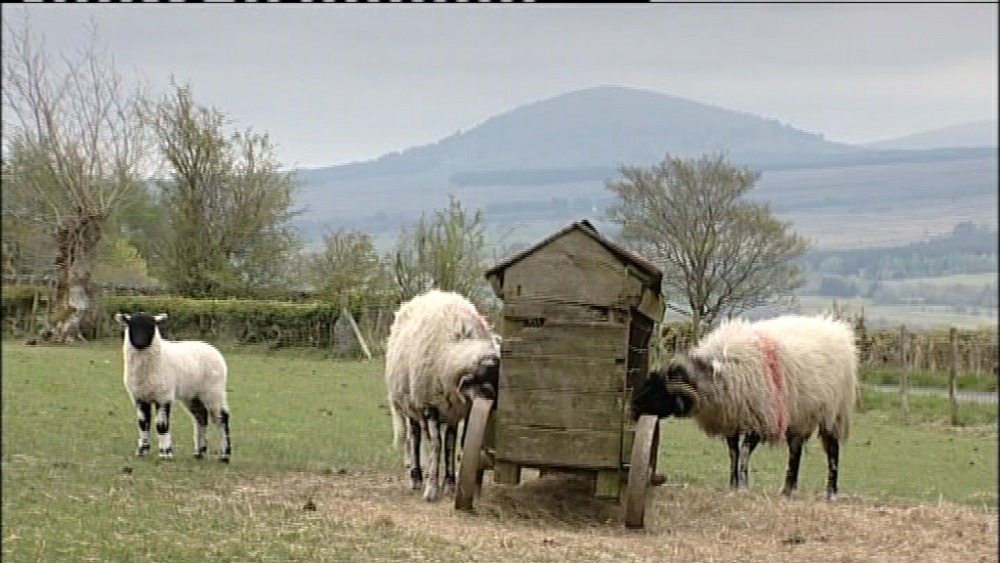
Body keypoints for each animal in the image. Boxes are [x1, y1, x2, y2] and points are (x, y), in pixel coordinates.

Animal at [114, 312, 232, 463]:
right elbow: (143, 423)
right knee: (201, 417)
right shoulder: (139, 396)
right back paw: (199, 452)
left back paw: (225, 455)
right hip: (192, 395)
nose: (140, 341)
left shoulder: (164, 395)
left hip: (214, 389)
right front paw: (142, 451)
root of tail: (211, 348)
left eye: (151, 326)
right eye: (131, 325)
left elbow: (161, 425)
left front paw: (165, 453)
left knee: (221, 418)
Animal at [385, 289, 500, 502]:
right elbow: (437, 445)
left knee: (438, 439)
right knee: (415, 437)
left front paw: (450, 483)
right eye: (484, 384)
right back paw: (416, 477)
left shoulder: (459, 409)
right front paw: (431, 490)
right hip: (410, 402)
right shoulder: (430, 405)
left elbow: (453, 445)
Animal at [631, 314, 858, 501]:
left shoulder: (758, 418)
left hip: (833, 413)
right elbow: (734, 454)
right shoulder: (731, 420)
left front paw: (743, 486)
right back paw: (787, 490)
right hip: (801, 415)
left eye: (660, 393)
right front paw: (733, 485)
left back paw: (831, 493)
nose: (633, 407)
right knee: (795, 451)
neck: (713, 376)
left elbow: (745, 453)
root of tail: (837, 329)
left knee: (833, 451)